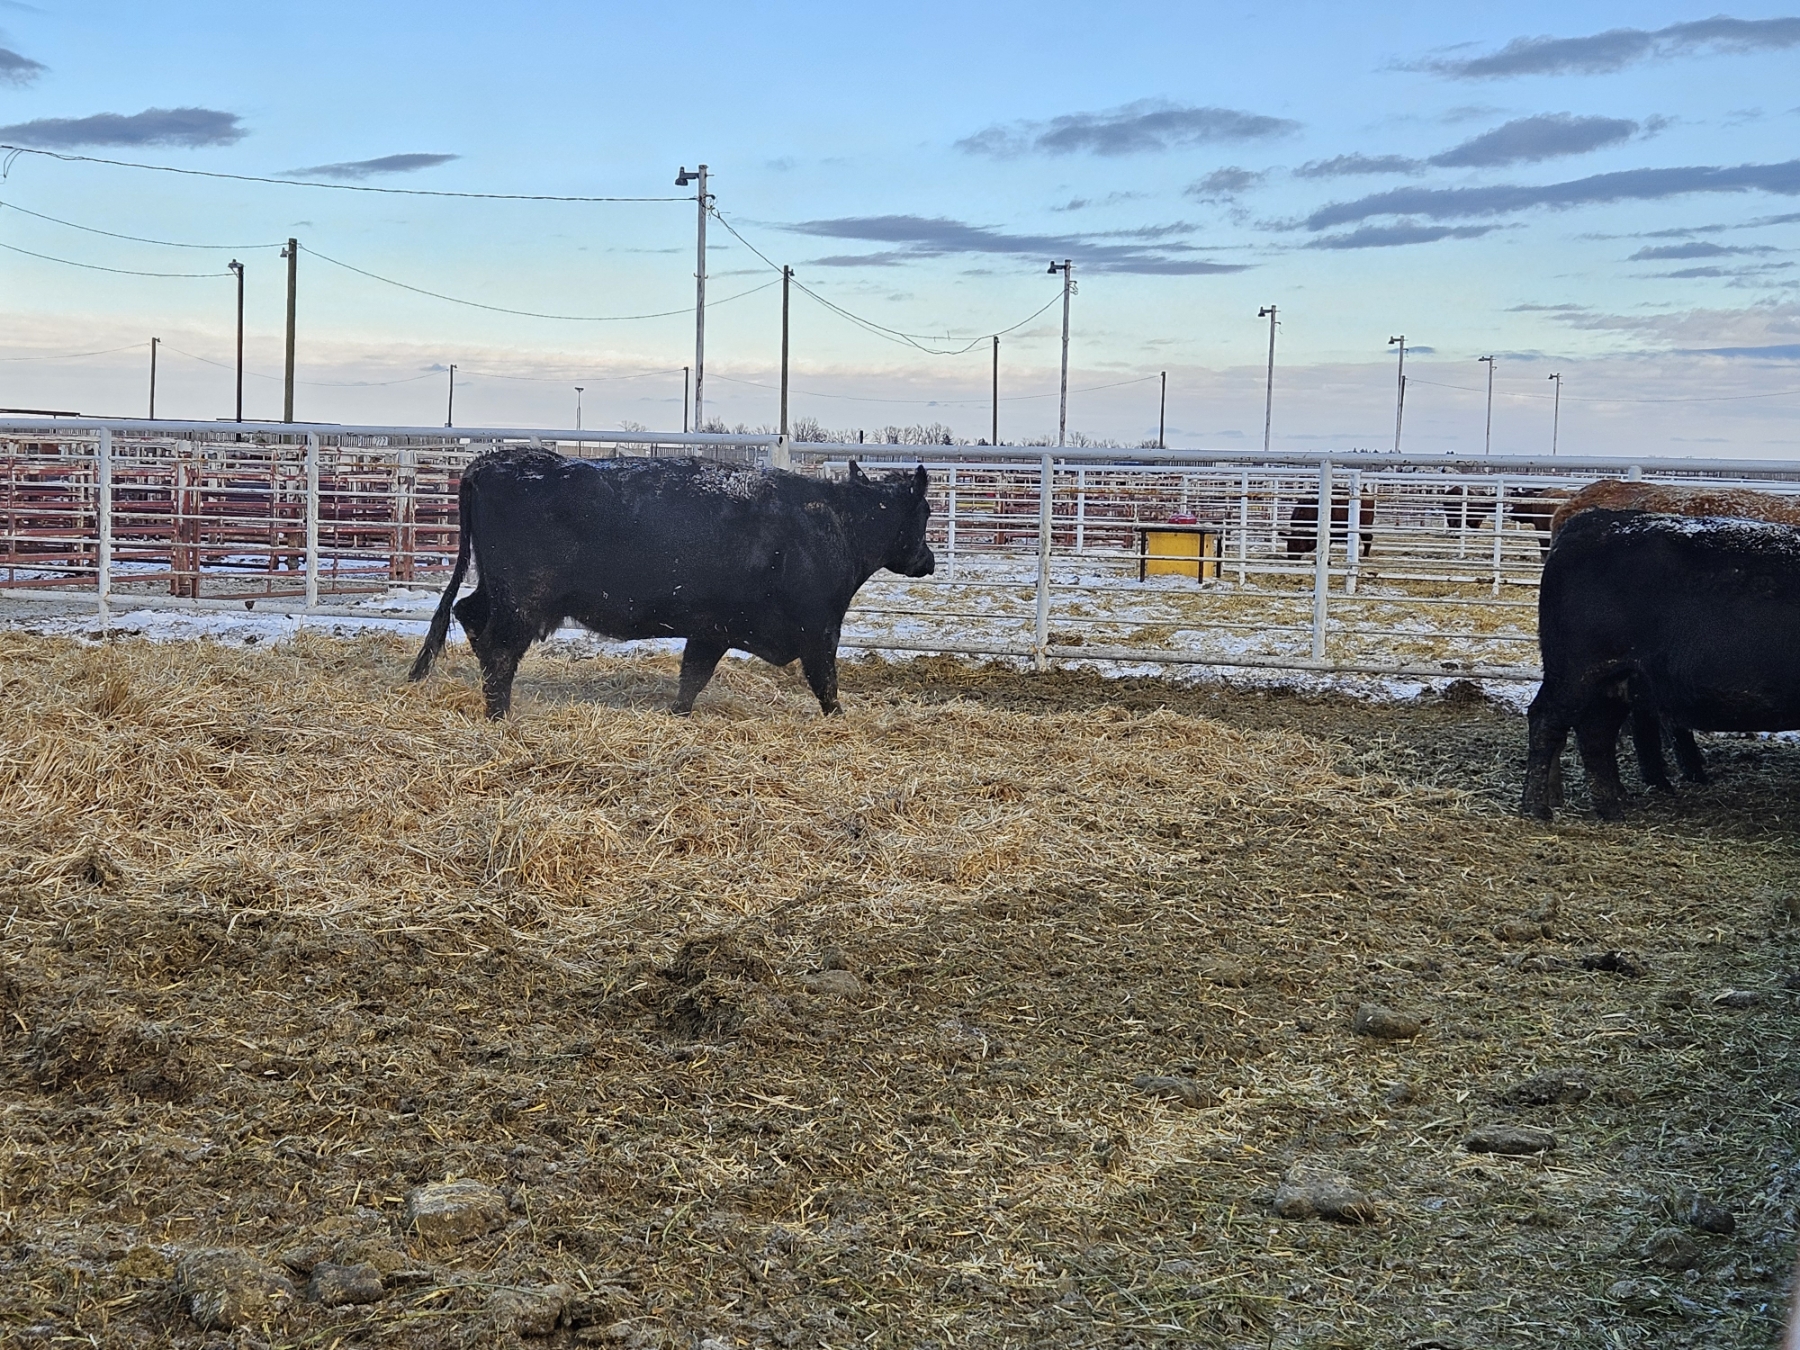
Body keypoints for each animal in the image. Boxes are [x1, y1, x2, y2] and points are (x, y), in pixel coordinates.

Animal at [408, 449, 935, 719]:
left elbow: (692, 677)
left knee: (469, 616)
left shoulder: (712, 628)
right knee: (499, 648)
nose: (929, 560)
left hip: (498, 591)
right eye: (926, 512)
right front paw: (840, 719)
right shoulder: (819, 627)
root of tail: (490, 462)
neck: (837, 523)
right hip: (522, 600)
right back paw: (499, 712)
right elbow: (827, 683)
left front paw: (677, 712)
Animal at [1521, 508, 1800, 821]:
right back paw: (1536, 807)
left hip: (1616, 681)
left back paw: (1613, 806)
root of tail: (1592, 519)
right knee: (1546, 722)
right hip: (1576, 675)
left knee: (1596, 734)